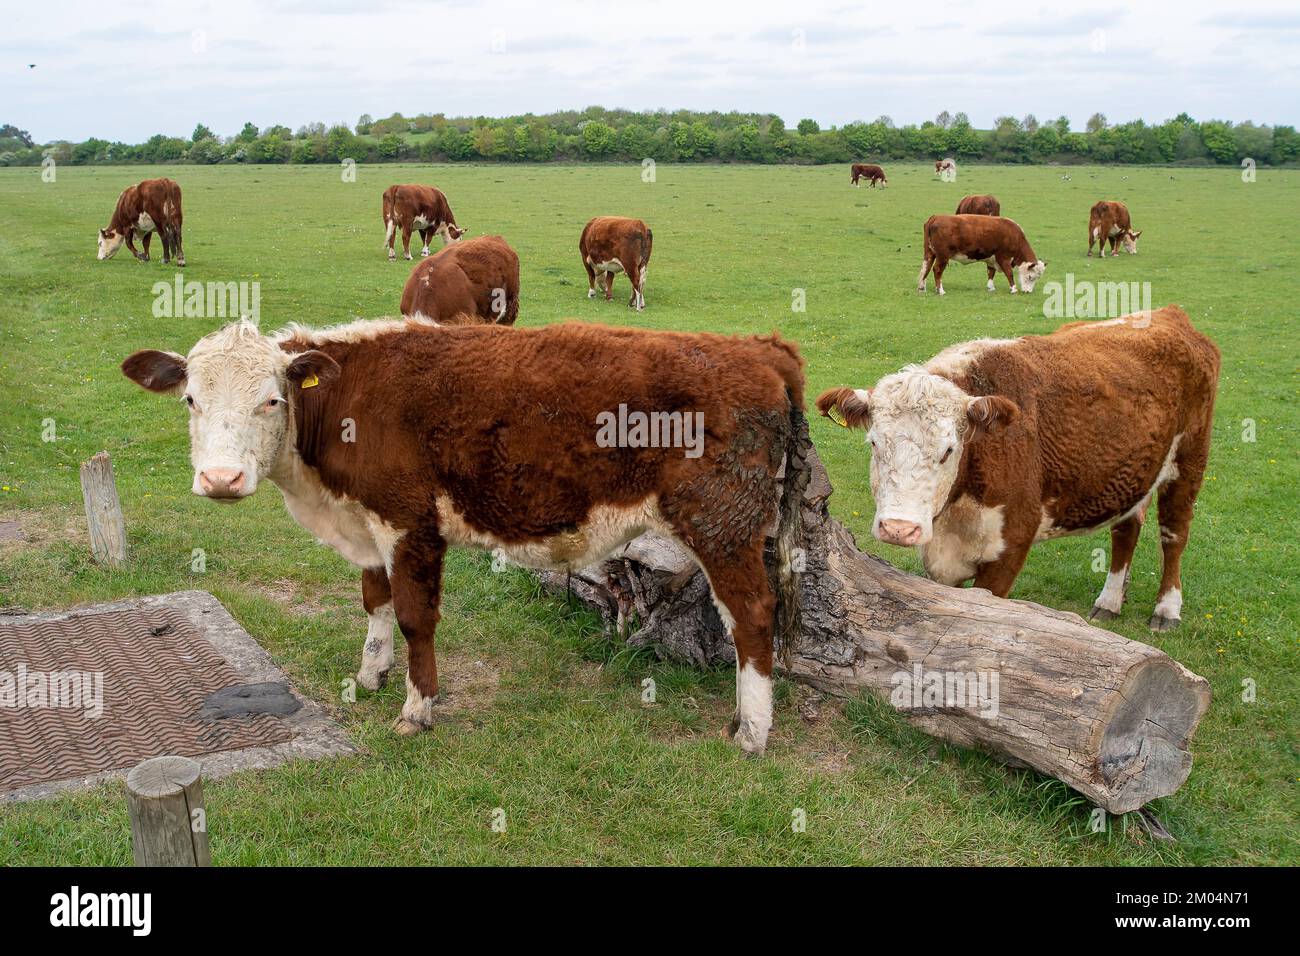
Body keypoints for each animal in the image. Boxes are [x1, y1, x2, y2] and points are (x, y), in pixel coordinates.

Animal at [121, 318, 809, 754]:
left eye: (271, 400)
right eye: (189, 400)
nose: (221, 478)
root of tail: (759, 349)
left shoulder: (409, 522)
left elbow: (413, 617)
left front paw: (415, 709)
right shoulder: (366, 523)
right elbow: (374, 601)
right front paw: (370, 675)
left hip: (721, 524)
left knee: (752, 614)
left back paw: (751, 732)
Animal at [814, 306, 1219, 631]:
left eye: (948, 450)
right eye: (875, 443)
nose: (900, 528)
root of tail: (1168, 314)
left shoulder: (1010, 547)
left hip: (1189, 460)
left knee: (1174, 533)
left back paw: (1167, 609)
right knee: (1127, 530)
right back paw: (1109, 602)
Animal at [918, 214, 1046, 295]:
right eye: (1030, 277)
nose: (1028, 292)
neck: (1015, 236)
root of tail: (936, 217)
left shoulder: (991, 258)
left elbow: (991, 272)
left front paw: (991, 287)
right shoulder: (1003, 257)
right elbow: (1009, 273)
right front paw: (1013, 289)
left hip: (929, 253)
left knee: (926, 268)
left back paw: (922, 288)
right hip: (943, 256)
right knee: (937, 270)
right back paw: (940, 290)